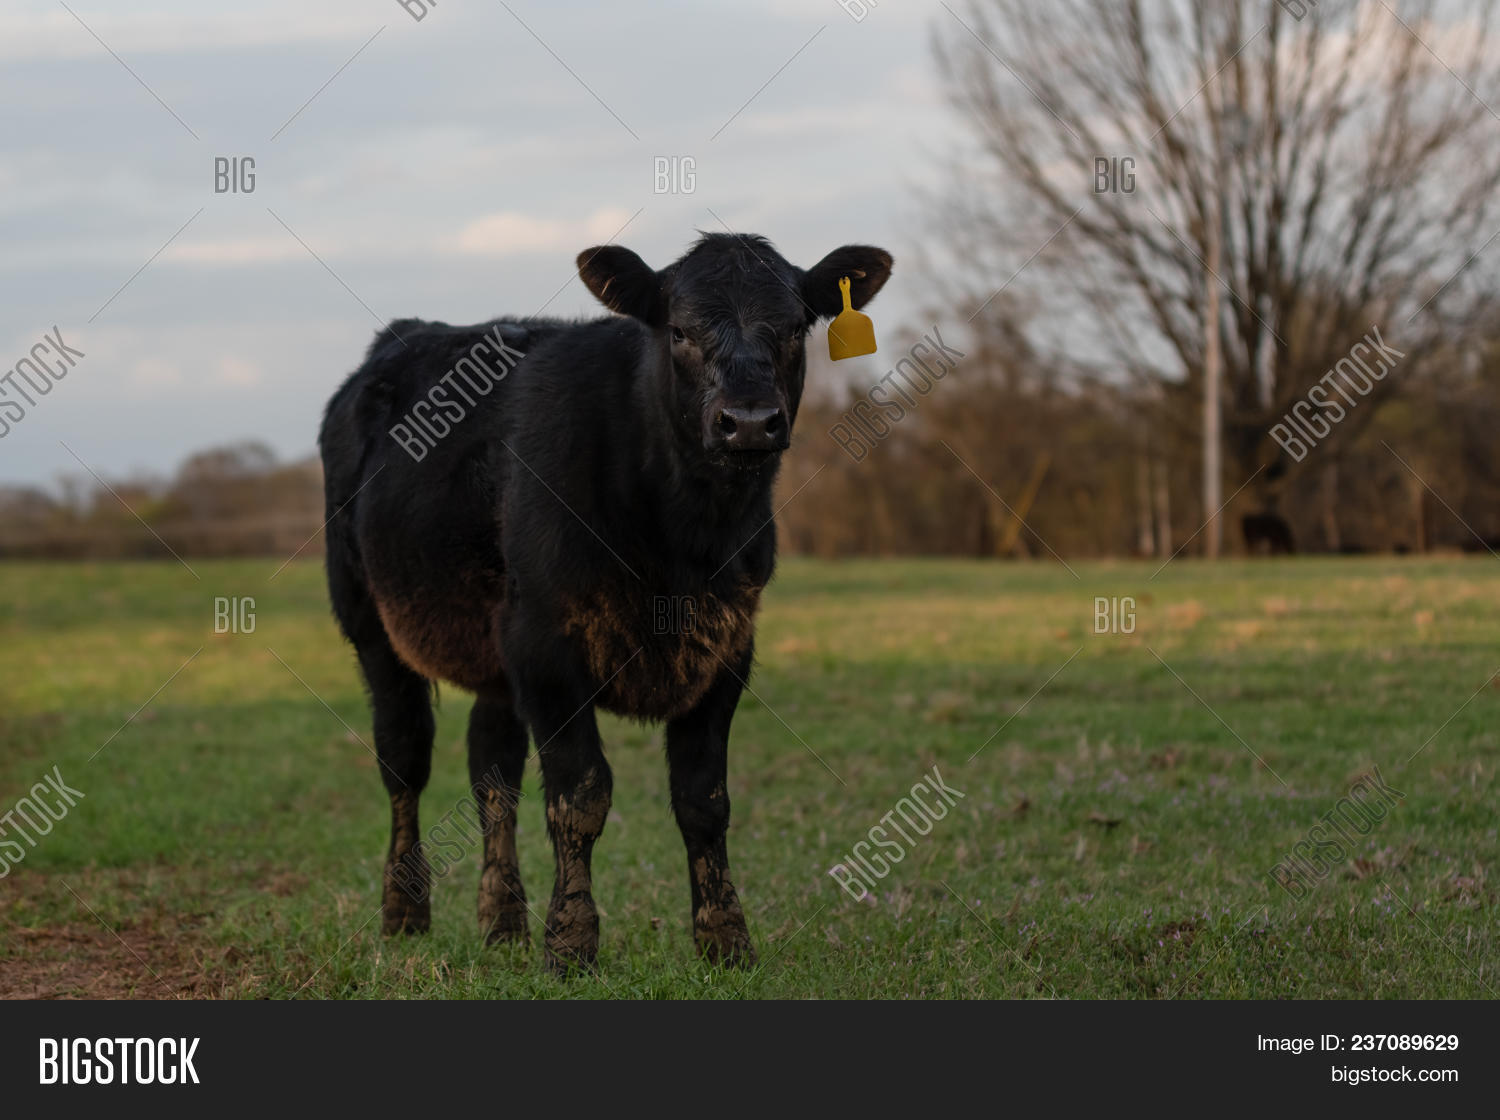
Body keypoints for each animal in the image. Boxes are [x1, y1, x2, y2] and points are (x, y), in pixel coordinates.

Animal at [318, 233, 892, 971]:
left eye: (796, 328)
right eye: (678, 330)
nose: (748, 423)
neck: (683, 543)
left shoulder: (728, 647)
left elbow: (704, 800)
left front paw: (725, 938)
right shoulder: (546, 646)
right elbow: (581, 795)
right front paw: (571, 942)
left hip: (494, 645)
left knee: (492, 772)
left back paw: (502, 920)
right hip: (371, 623)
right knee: (404, 761)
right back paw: (404, 912)